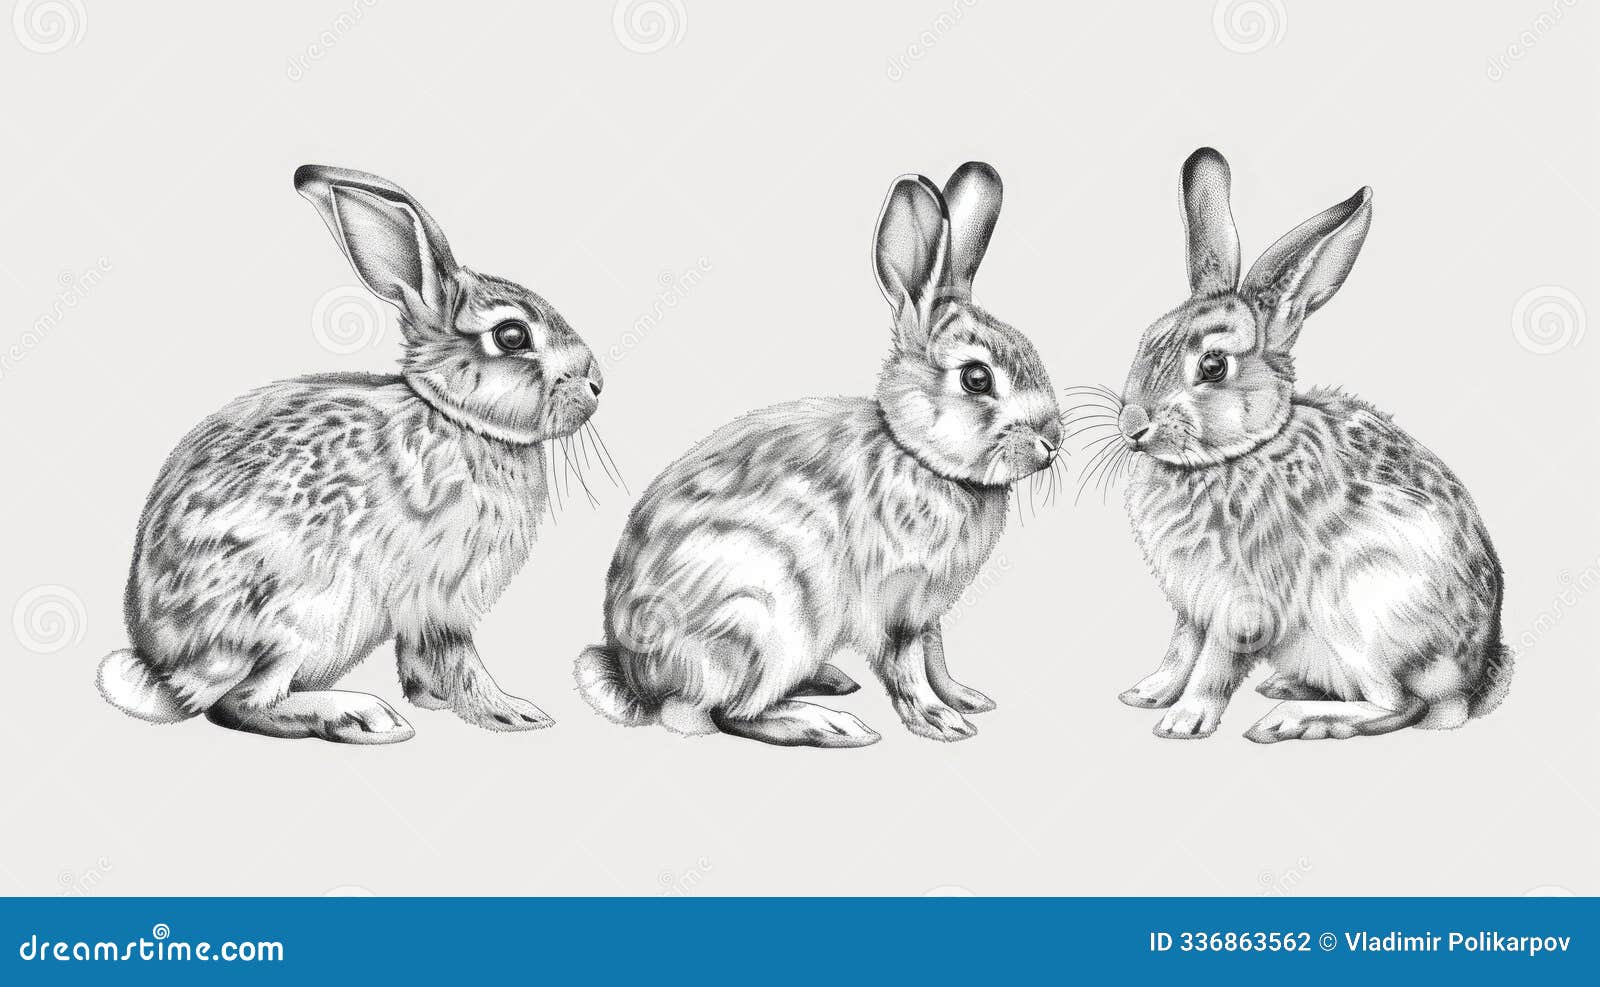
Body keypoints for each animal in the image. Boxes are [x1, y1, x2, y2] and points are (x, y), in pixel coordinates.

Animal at [96, 165, 603, 744]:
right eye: (513, 335)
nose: (597, 383)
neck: (457, 417)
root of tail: (165, 672)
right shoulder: (438, 597)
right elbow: (458, 659)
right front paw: (511, 713)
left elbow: (423, 661)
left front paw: (433, 699)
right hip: (302, 614)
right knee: (239, 703)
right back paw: (361, 716)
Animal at [573, 163, 1063, 748]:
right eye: (976, 378)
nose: (1053, 439)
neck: (916, 454)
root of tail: (637, 680)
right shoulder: (896, 601)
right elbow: (907, 665)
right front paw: (939, 722)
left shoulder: (928, 608)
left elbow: (937, 654)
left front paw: (966, 698)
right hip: (763, 624)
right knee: (723, 715)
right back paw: (831, 724)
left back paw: (830, 682)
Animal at [1103, 147, 1510, 743]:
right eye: (1148, 339)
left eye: (1212, 366)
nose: (1133, 423)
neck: (1237, 453)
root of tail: (1469, 684)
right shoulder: (1193, 601)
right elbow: (1181, 648)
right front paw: (1146, 694)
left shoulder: (1245, 599)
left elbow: (1215, 661)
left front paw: (1184, 721)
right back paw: (1287, 688)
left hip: (1360, 610)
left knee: (1398, 705)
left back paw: (1291, 720)